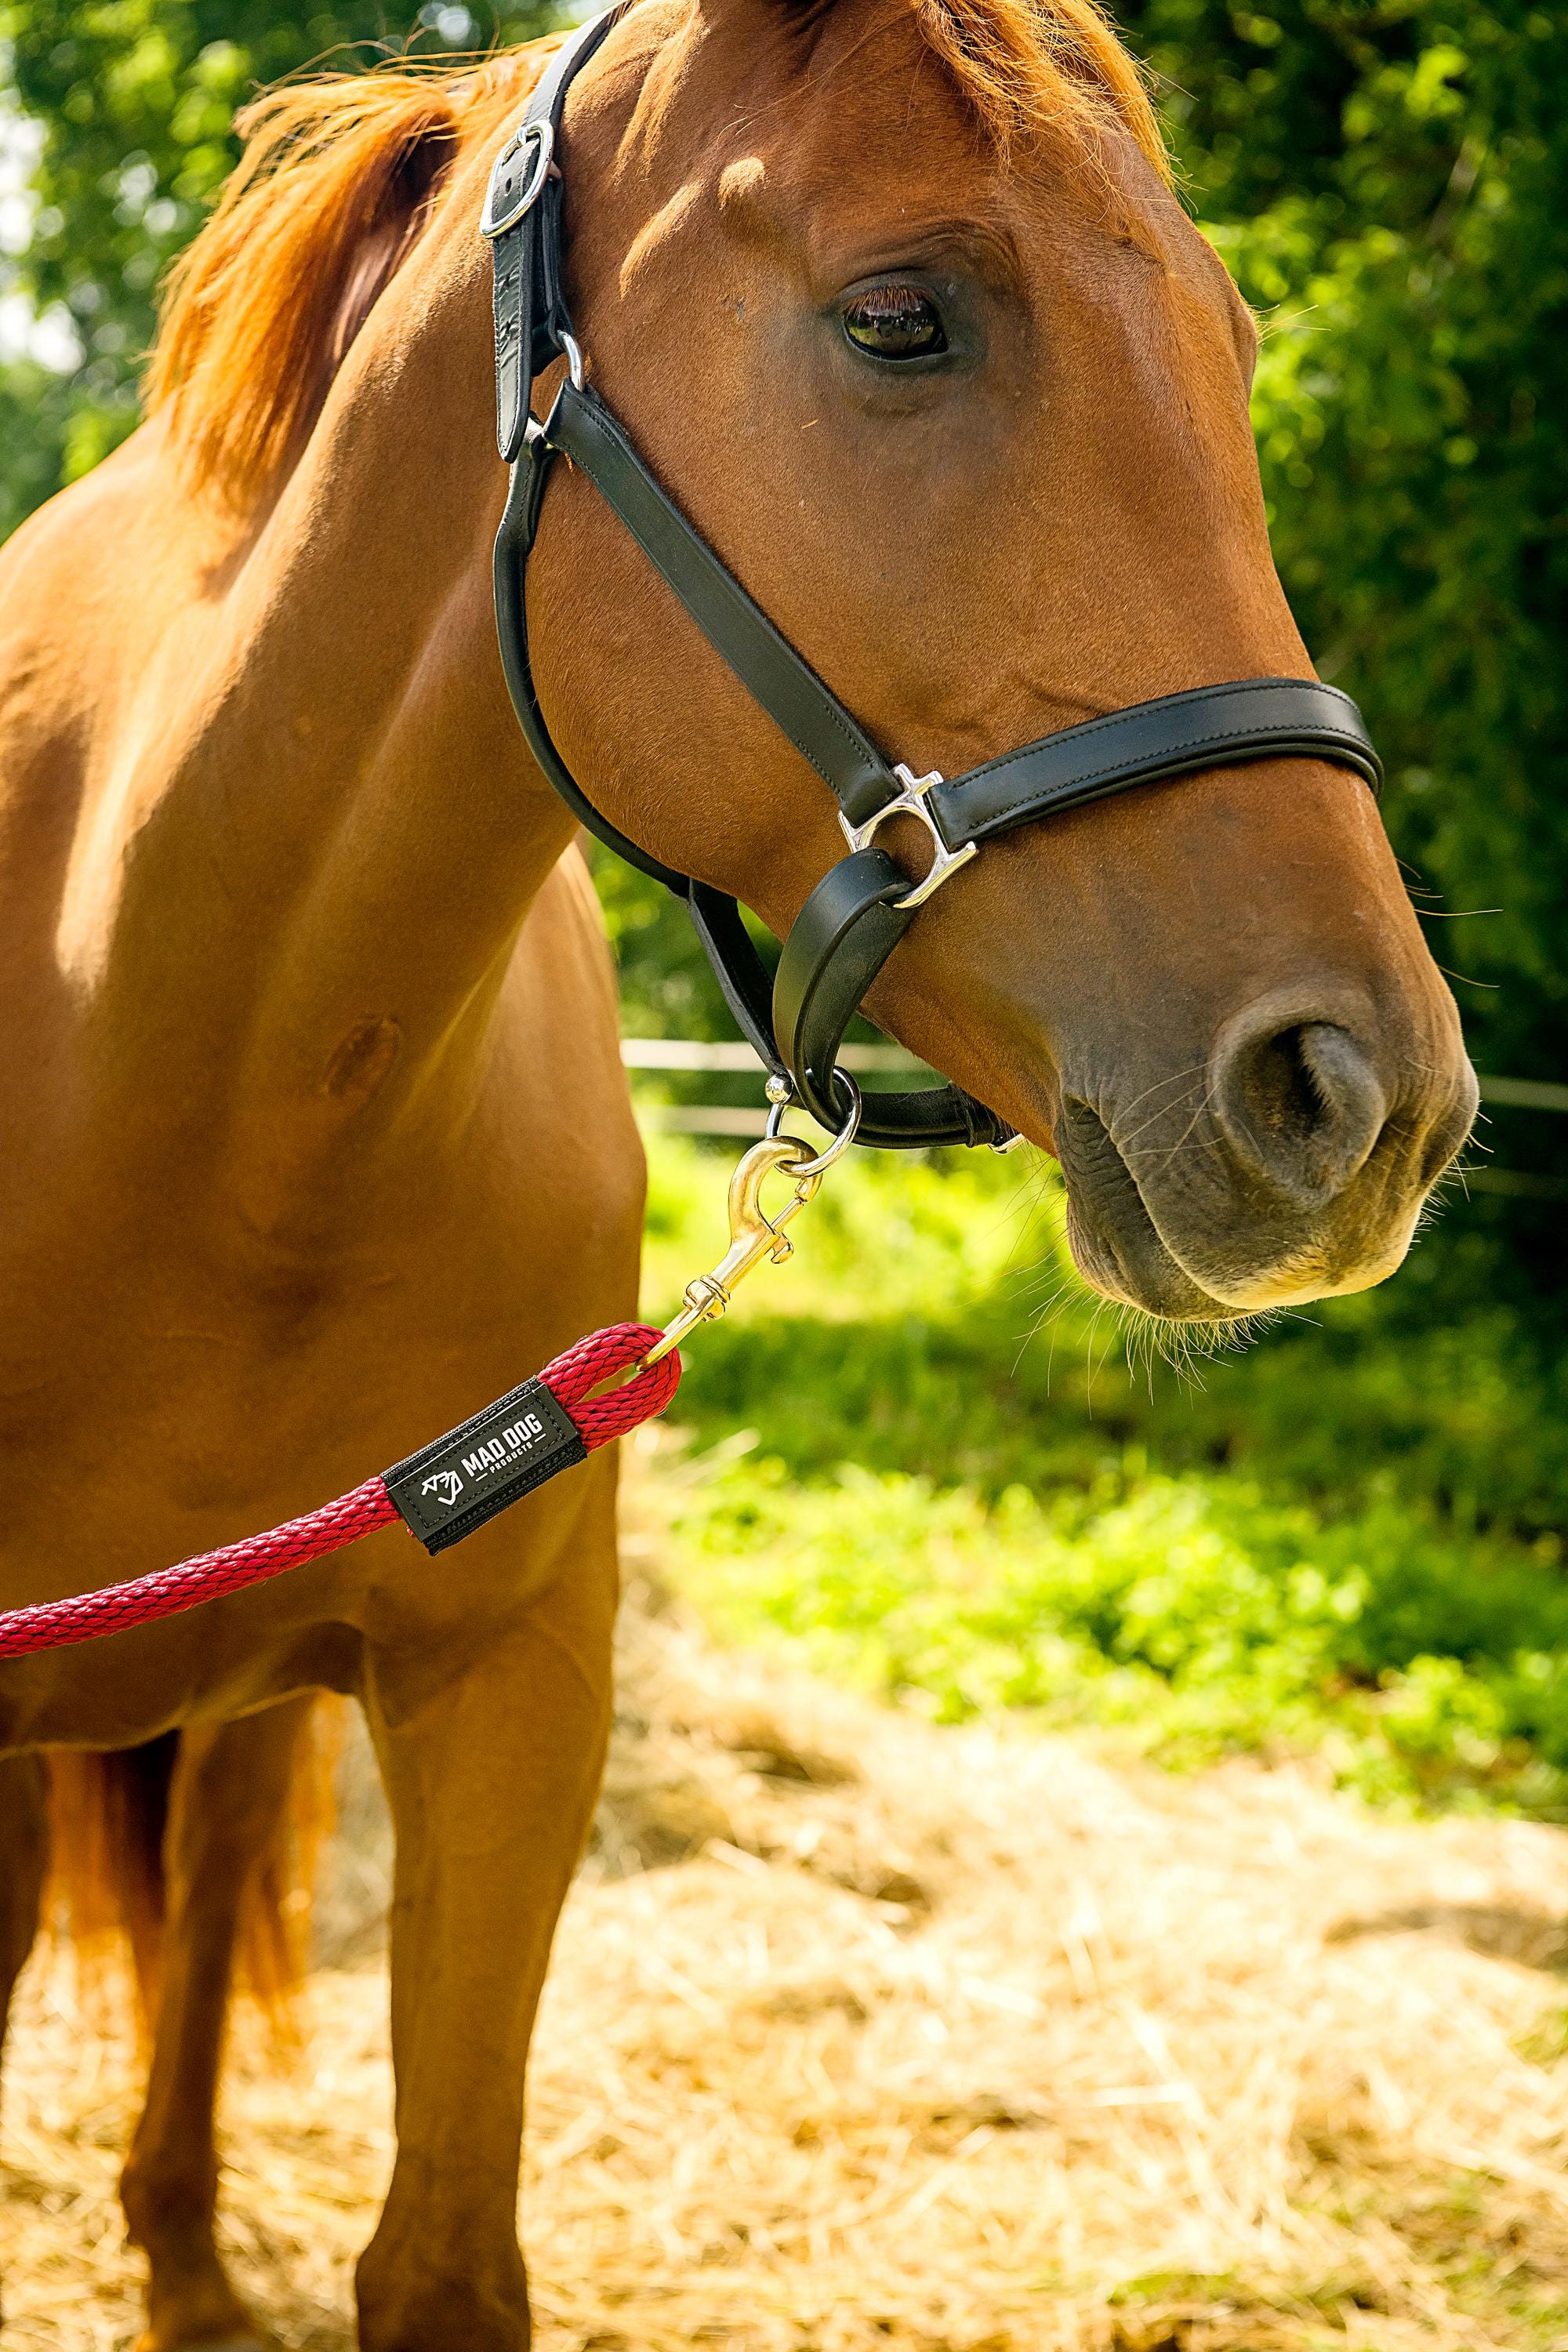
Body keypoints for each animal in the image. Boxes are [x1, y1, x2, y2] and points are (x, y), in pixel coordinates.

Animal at [0, 0, 1476, 2342]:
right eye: (897, 317)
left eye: (1232, 341)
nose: (1361, 1097)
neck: (201, 1056)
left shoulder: (516, 1698)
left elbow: (445, 2257)